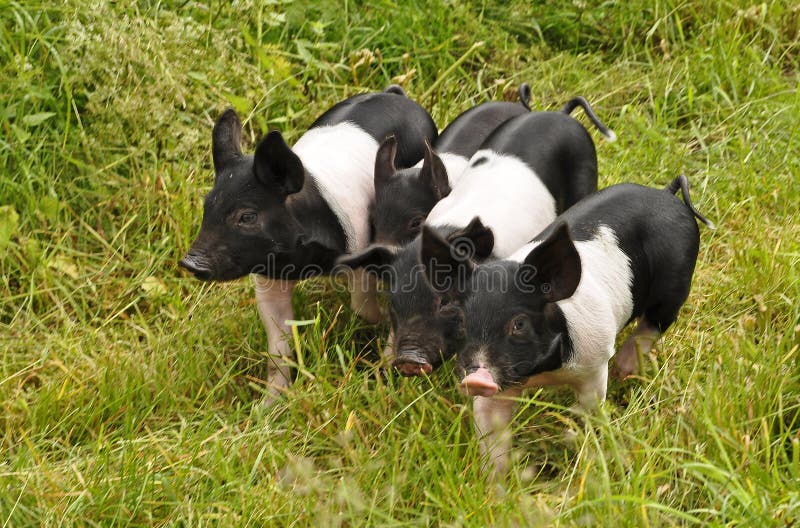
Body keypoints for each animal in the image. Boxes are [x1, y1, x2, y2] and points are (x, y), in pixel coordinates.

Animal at [179, 86, 437, 404]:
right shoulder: (269, 278)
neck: (301, 259)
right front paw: (269, 405)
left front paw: (379, 346)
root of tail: (398, 95)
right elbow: (278, 340)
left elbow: (363, 304)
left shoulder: (362, 245)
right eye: (207, 207)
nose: (190, 262)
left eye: (247, 216)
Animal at [419, 175, 715, 474]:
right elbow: (492, 434)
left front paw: (582, 448)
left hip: (677, 279)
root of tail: (665, 194)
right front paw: (497, 483)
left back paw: (623, 370)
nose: (476, 379)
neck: (544, 372)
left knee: (656, 322)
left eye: (519, 323)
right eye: (461, 320)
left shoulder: (595, 361)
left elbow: (590, 410)